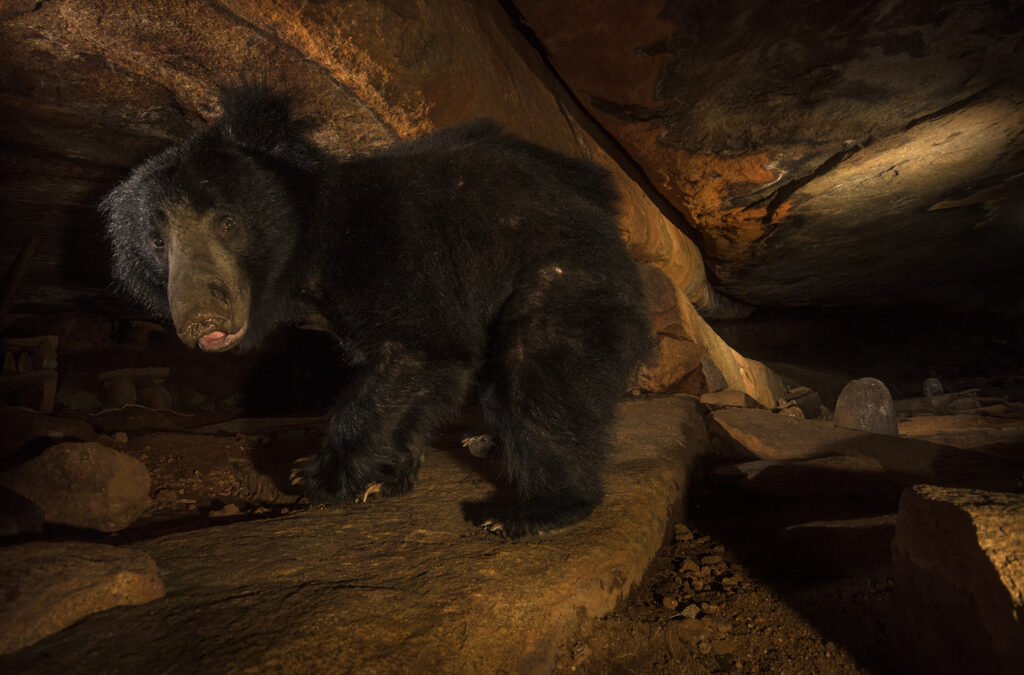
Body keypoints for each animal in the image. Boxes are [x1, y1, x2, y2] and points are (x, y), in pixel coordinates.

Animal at [101, 86, 652, 538]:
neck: (305, 259)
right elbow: (427, 381)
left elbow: (419, 352)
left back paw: (533, 511)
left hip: (563, 280)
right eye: (157, 241)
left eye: (228, 224)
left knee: (536, 374)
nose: (202, 322)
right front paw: (385, 478)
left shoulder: (390, 256)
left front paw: (315, 475)